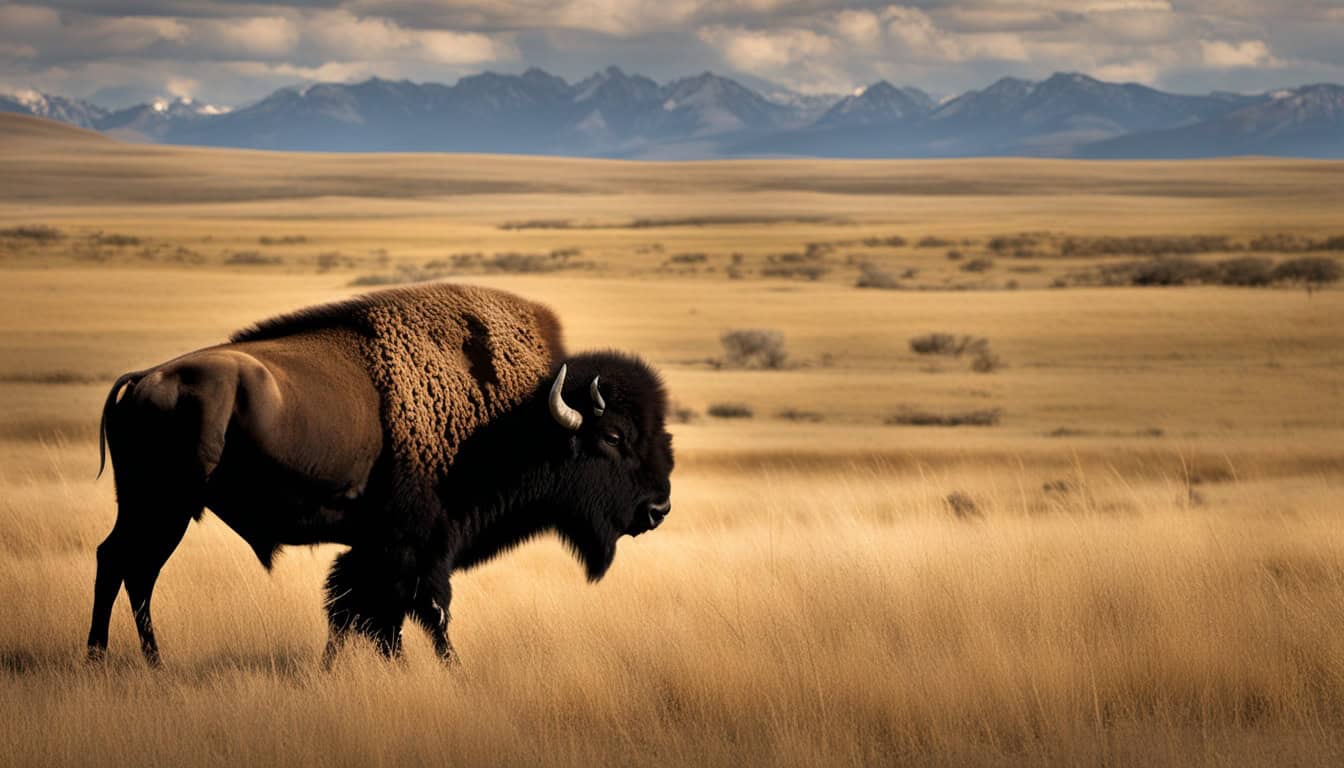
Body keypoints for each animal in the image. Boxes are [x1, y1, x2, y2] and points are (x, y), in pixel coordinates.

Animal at [88, 283, 673, 667]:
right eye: (614, 437)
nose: (658, 508)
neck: (514, 417)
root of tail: (145, 378)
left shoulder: (374, 548)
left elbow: (353, 609)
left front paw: (335, 668)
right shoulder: (417, 545)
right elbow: (418, 611)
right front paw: (442, 671)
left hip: (149, 506)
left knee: (126, 566)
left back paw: (134, 660)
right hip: (163, 506)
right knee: (127, 566)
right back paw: (120, 659)